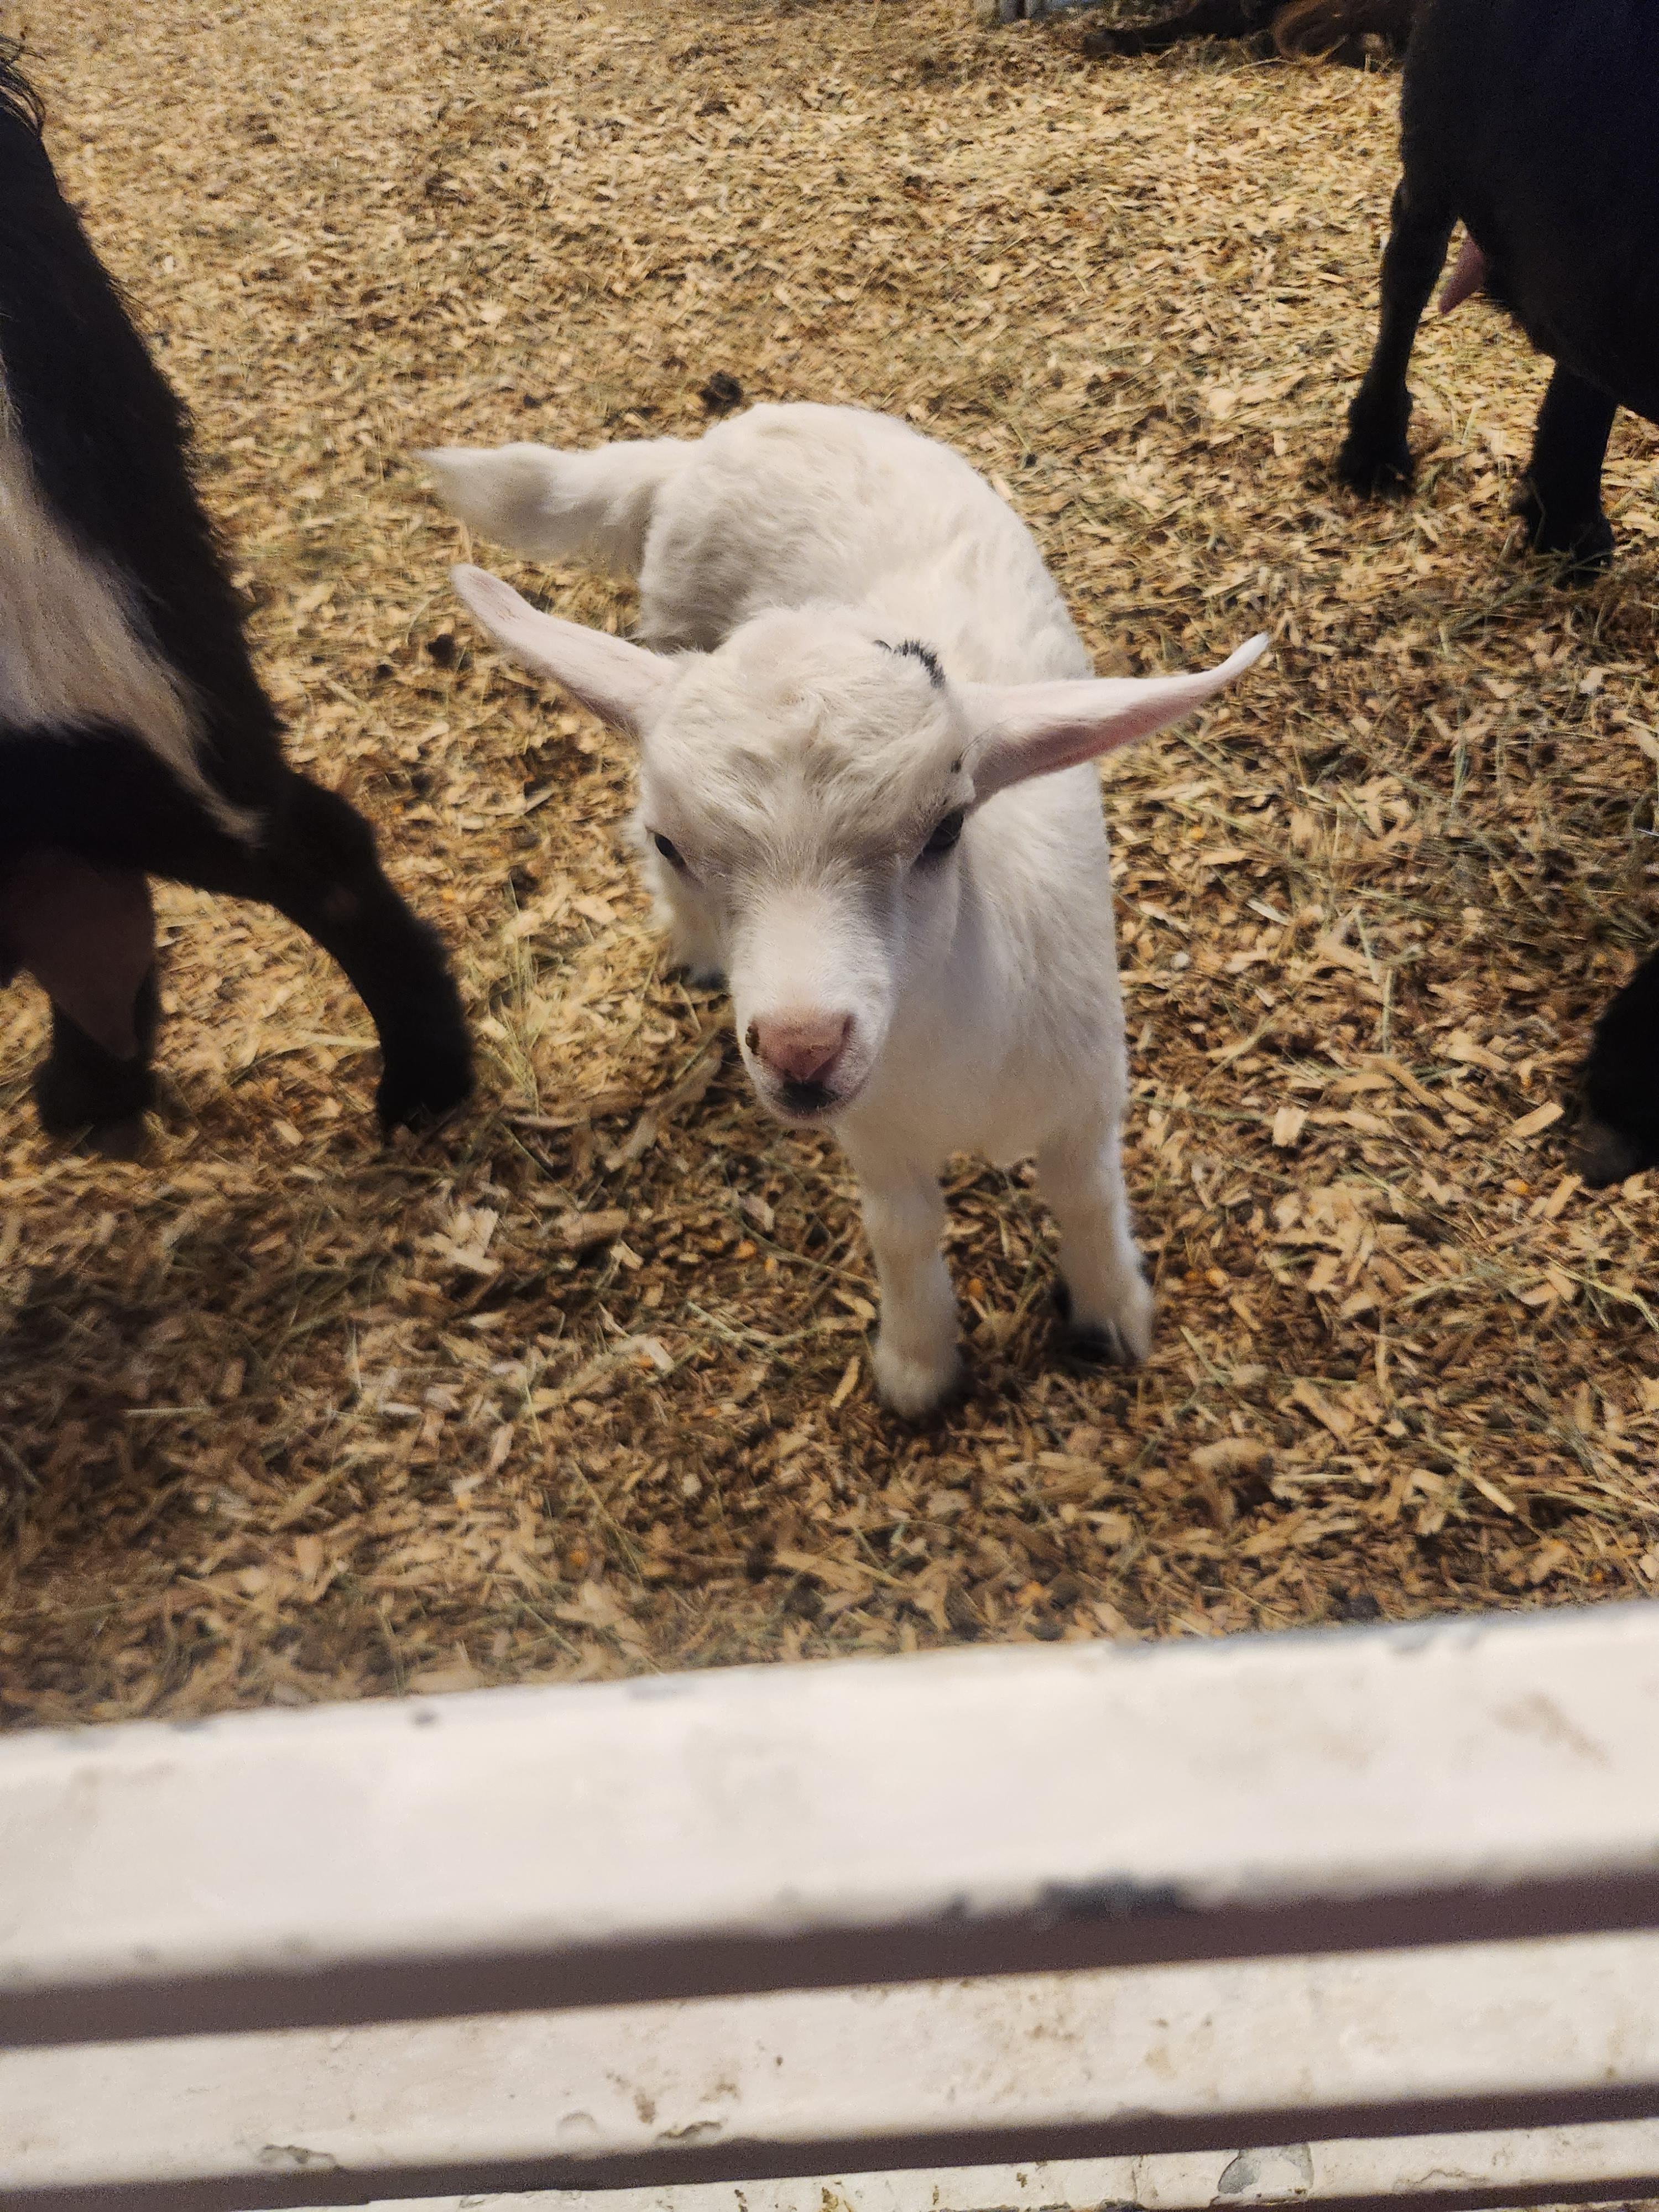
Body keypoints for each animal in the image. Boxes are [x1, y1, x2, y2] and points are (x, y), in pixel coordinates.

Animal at [427, 403, 1264, 1413]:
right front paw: (918, 1367)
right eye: (676, 843)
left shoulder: (1087, 1094)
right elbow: (901, 1232)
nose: (801, 1050)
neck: (951, 1060)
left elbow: (1087, 1196)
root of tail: (715, 440)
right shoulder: (875, 1131)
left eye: (946, 829)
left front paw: (1113, 1314)